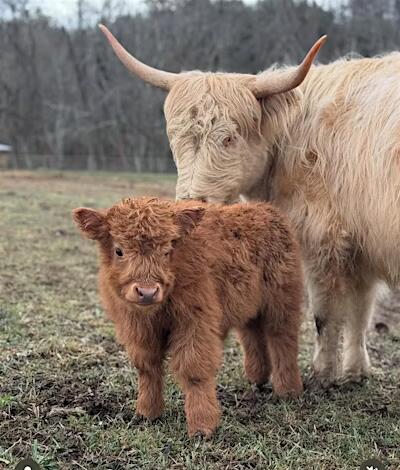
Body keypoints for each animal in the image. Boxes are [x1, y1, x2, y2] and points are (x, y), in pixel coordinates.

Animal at [73, 197, 303, 437]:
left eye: (166, 250)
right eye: (119, 251)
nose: (147, 292)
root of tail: (264, 208)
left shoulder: (195, 322)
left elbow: (194, 370)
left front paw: (202, 426)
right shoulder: (138, 329)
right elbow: (147, 367)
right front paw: (147, 413)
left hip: (281, 301)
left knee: (282, 339)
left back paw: (288, 390)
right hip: (248, 303)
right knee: (252, 334)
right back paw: (257, 378)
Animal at [99, 25, 400, 388]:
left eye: (229, 137)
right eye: (175, 138)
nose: (193, 203)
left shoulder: (323, 238)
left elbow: (325, 313)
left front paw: (323, 373)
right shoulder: (360, 245)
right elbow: (360, 311)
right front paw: (356, 372)